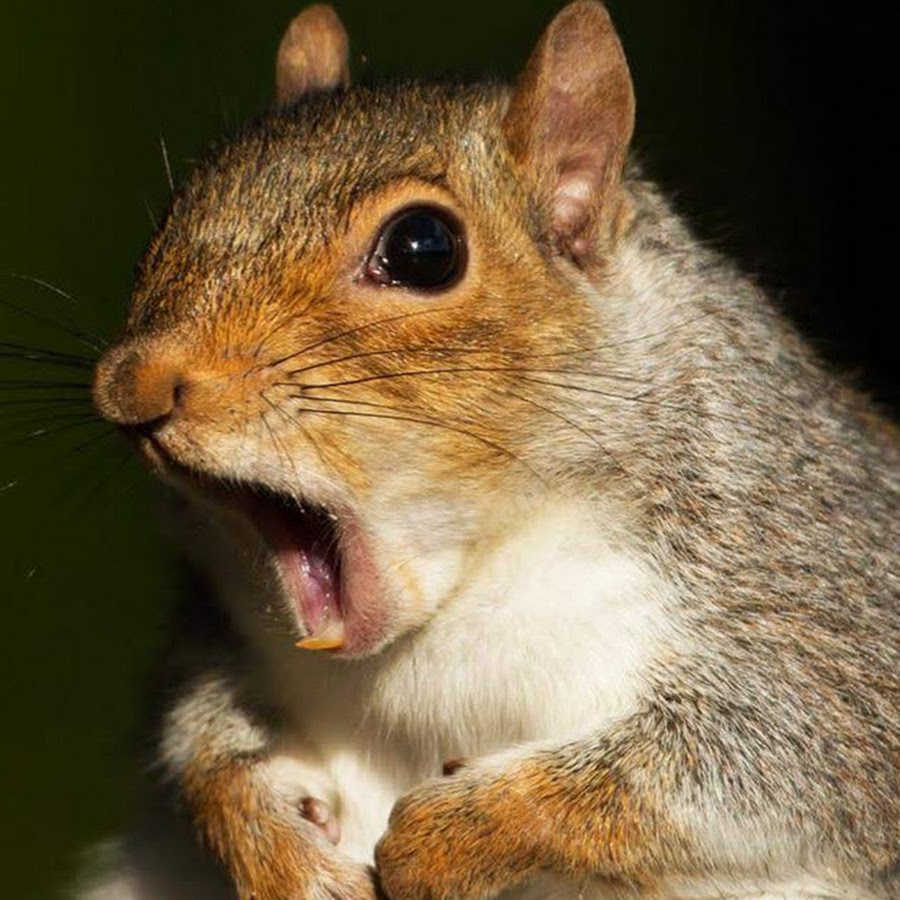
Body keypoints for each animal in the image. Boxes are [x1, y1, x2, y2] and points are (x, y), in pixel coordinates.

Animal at [80, 2, 898, 898]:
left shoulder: (817, 615)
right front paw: (272, 842)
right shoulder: (217, 631)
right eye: (176, 209)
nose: (129, 386)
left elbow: (751, 763)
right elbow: (204, 742)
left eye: (423, 248)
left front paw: (451, 834)